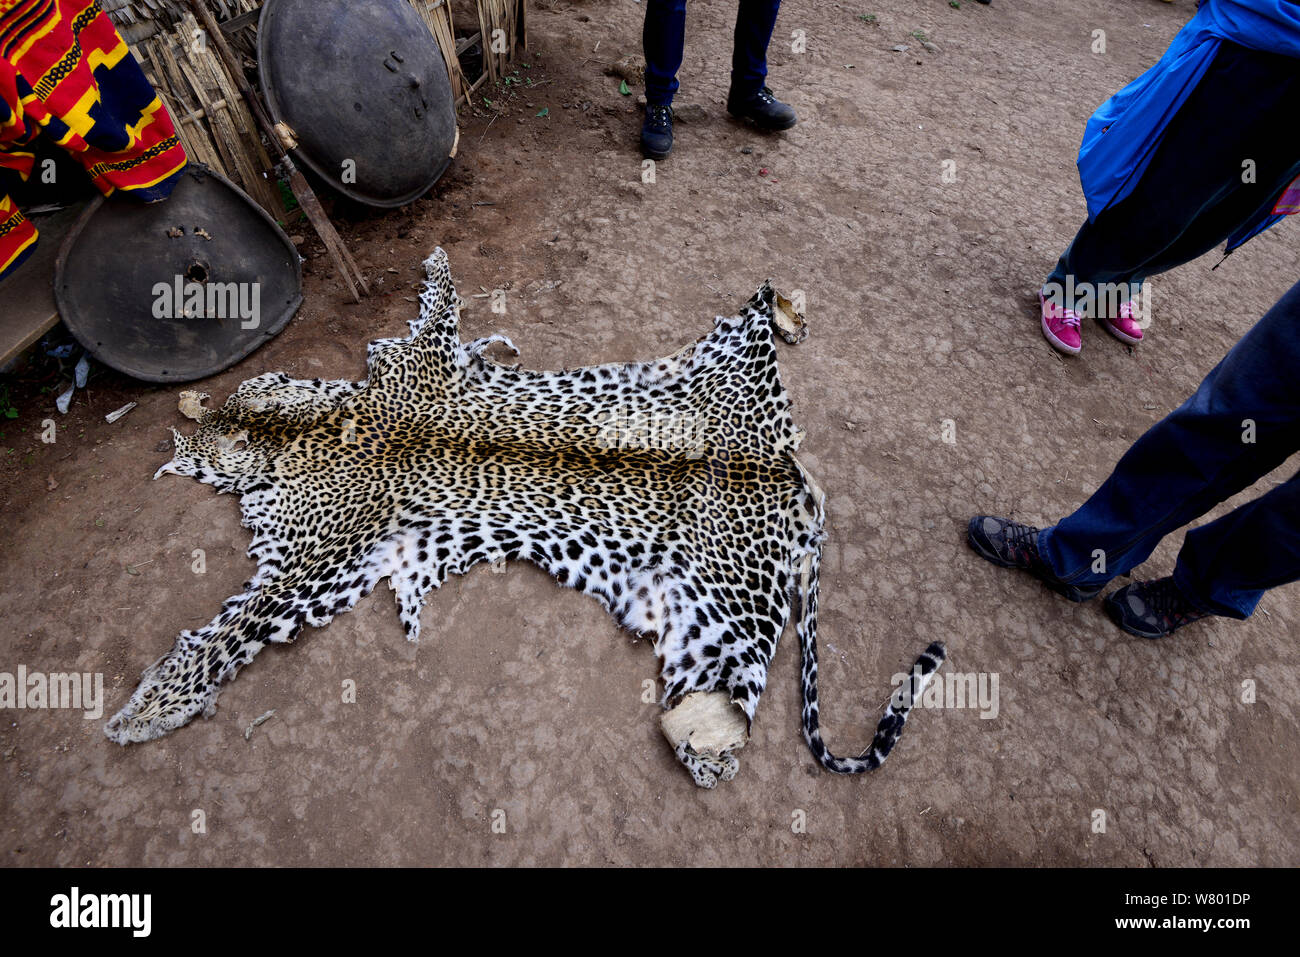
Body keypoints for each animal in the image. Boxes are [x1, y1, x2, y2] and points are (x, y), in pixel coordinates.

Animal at [103, 248, 945, 787]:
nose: (197, 421)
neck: (305, 430)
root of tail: (790, 473)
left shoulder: (317, 559)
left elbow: (223, 637)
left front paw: (146, 709)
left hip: (729, 621)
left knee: (716, 737)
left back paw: (703, 747)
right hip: (725, 421)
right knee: (759, 311)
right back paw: (785, 307)